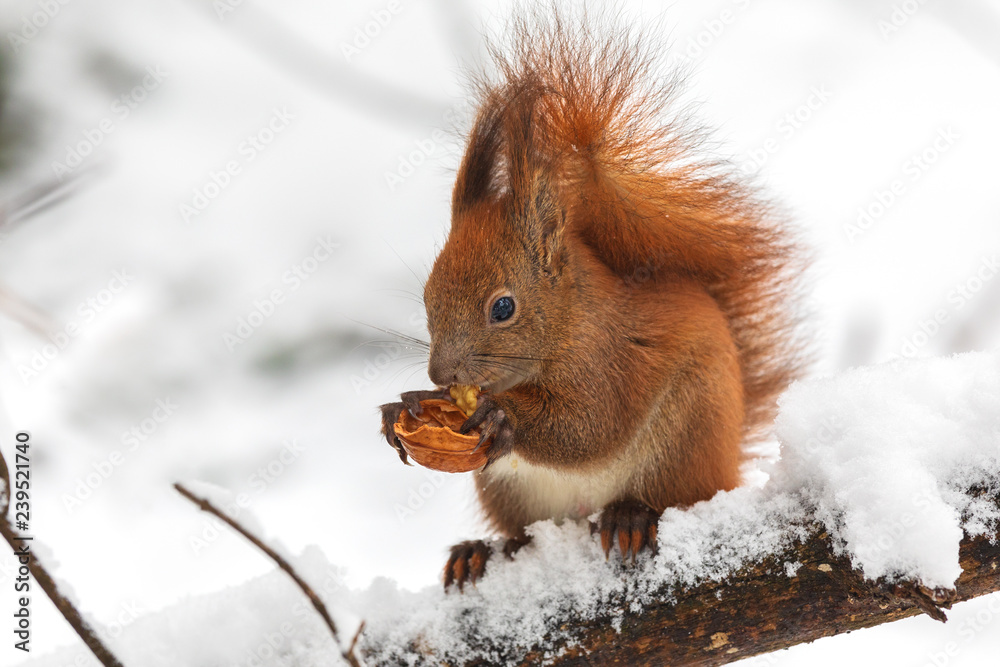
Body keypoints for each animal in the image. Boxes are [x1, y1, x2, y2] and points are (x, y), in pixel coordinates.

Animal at [379, 6, 806, 592]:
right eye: (426, 297)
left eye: (503, 308)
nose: (441, 374)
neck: (566, 323)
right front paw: (403, 407)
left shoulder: (607, 358)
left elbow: (589, 424)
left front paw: (501, 417)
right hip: (508, 492)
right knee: (521, 534)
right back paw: (477, 552)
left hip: (685, 441)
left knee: (665, 496)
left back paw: (630, 516)